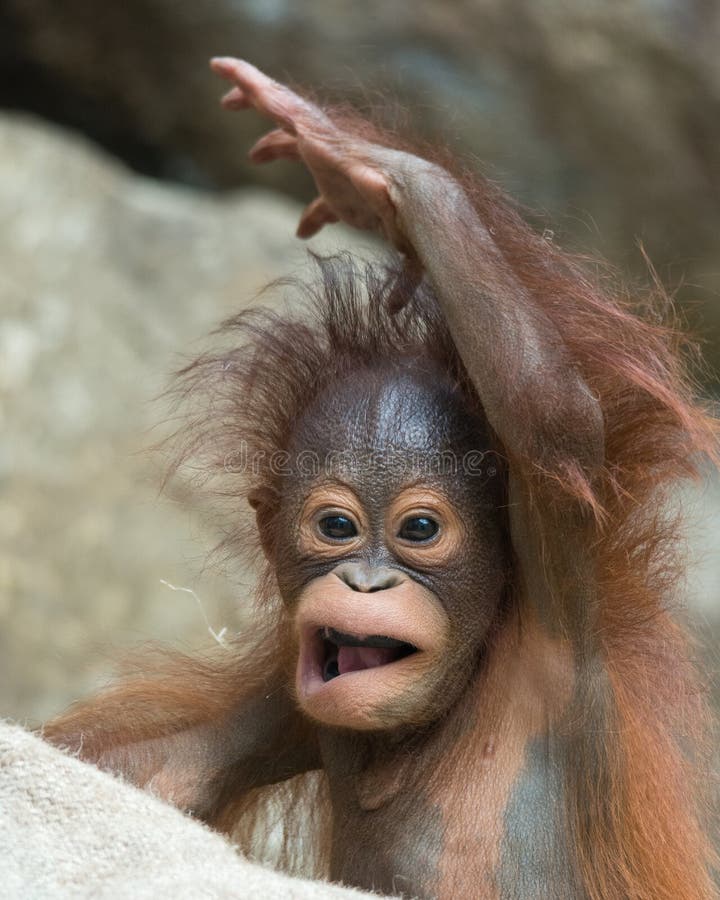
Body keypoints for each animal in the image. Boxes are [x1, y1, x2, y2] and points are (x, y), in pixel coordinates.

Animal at [43, 59, 718, 900]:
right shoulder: (292, 704)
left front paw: (365, 167)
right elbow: (163, 767)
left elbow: (550, 418)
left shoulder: (559, 611)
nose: (366, 583)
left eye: (419, 530)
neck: (434, 719)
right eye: (337, 527)